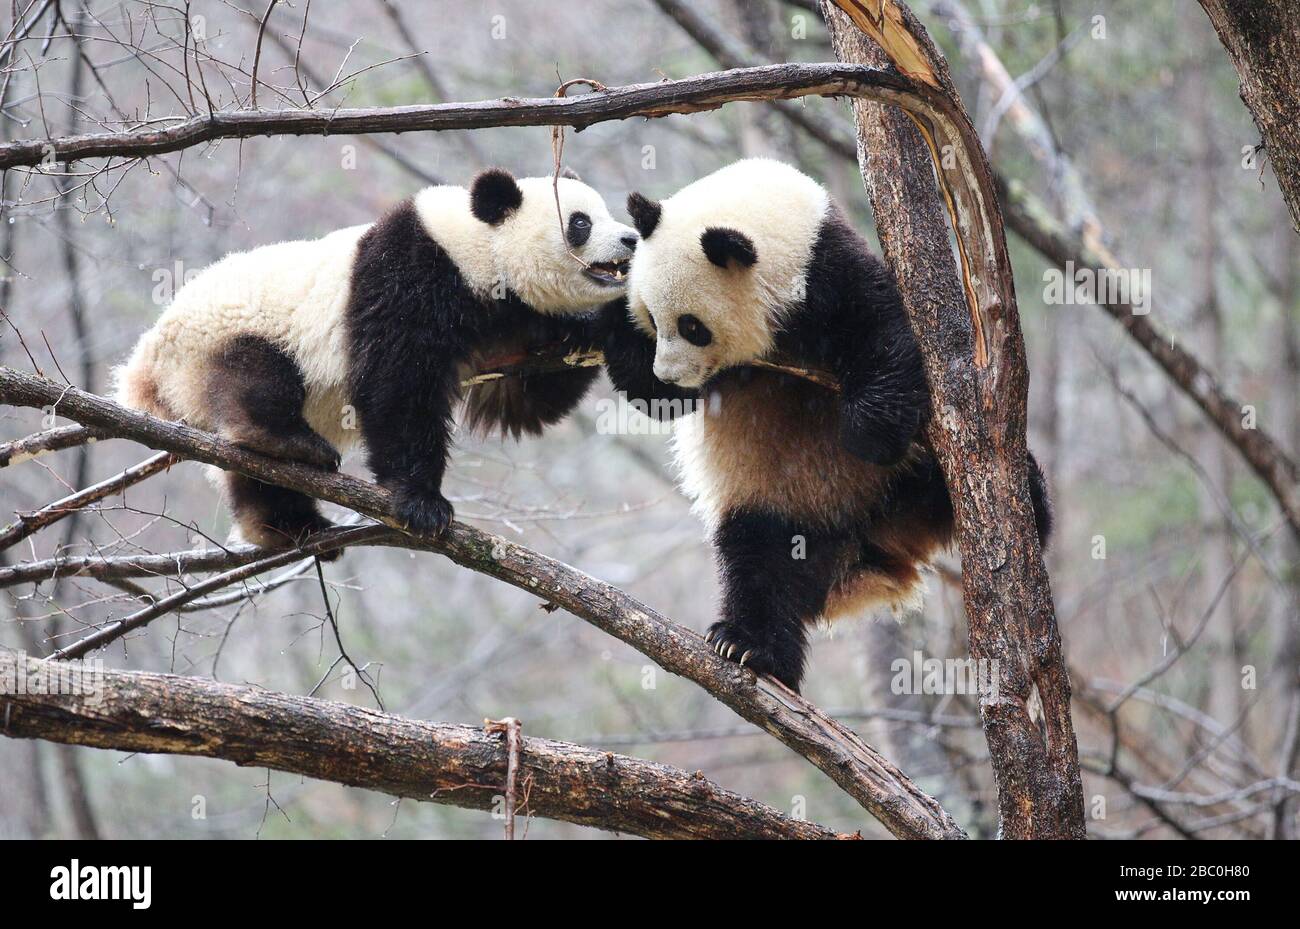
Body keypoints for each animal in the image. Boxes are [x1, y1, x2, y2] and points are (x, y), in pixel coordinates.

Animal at [117, 168, 637, 550]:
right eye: (581, 221)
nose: (632, 239)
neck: (479, 250)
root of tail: (143, 367)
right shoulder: (412, 275)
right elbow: (397, 385)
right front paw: (422, 503)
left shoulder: (512, 323)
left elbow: (524, 399)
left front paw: (620, 322)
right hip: (216, 338)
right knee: (256, 375)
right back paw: (284, 441)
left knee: (250, 478)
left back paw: (288, 525)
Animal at [599, 158, 1051, 692]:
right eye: (652, 317)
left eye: (692, 326)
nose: (668, 372)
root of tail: (867, 552)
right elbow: (657, 401)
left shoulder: (834, 270)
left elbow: (884, 338)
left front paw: (866, 432)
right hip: (777, 506)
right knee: (761, 564)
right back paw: (750, 646)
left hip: (908, 482)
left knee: (956, 487)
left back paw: (1030, 502)